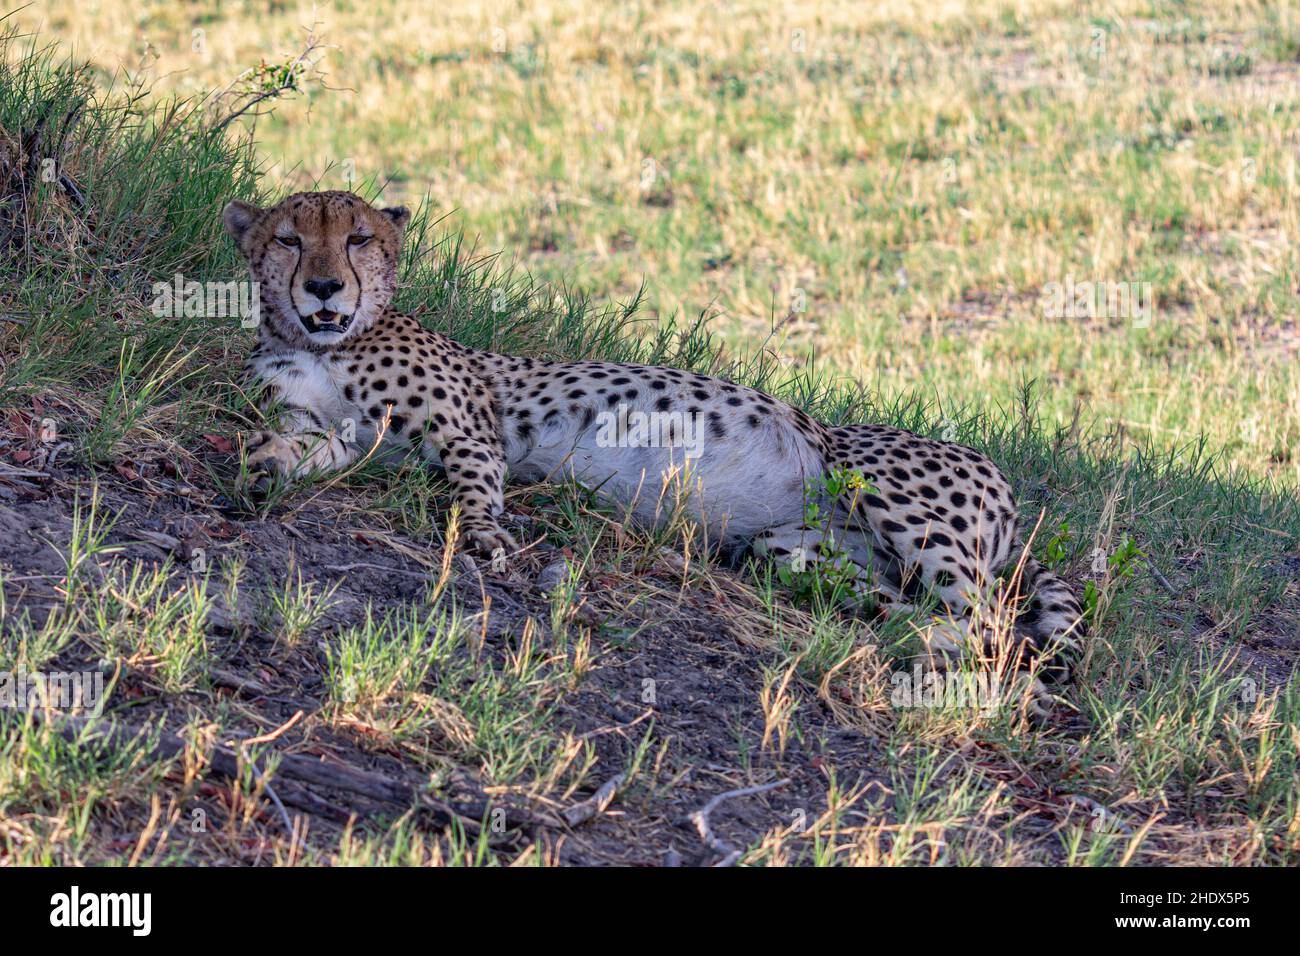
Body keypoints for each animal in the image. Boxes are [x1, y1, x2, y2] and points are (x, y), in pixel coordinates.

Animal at [223, 190, 1086, 688]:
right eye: (289, 241)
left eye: (359, 239)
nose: (324, 286)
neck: (325, 341)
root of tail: (1003, 484)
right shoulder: (340, 433)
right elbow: (296, 447)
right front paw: (262, 467)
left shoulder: (472, 429)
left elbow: (474, 490)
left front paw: (485, 539)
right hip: (791, 549)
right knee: (922, 608)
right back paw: (887, 631)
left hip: (884, 488)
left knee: (991, 627)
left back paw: (930, 647)